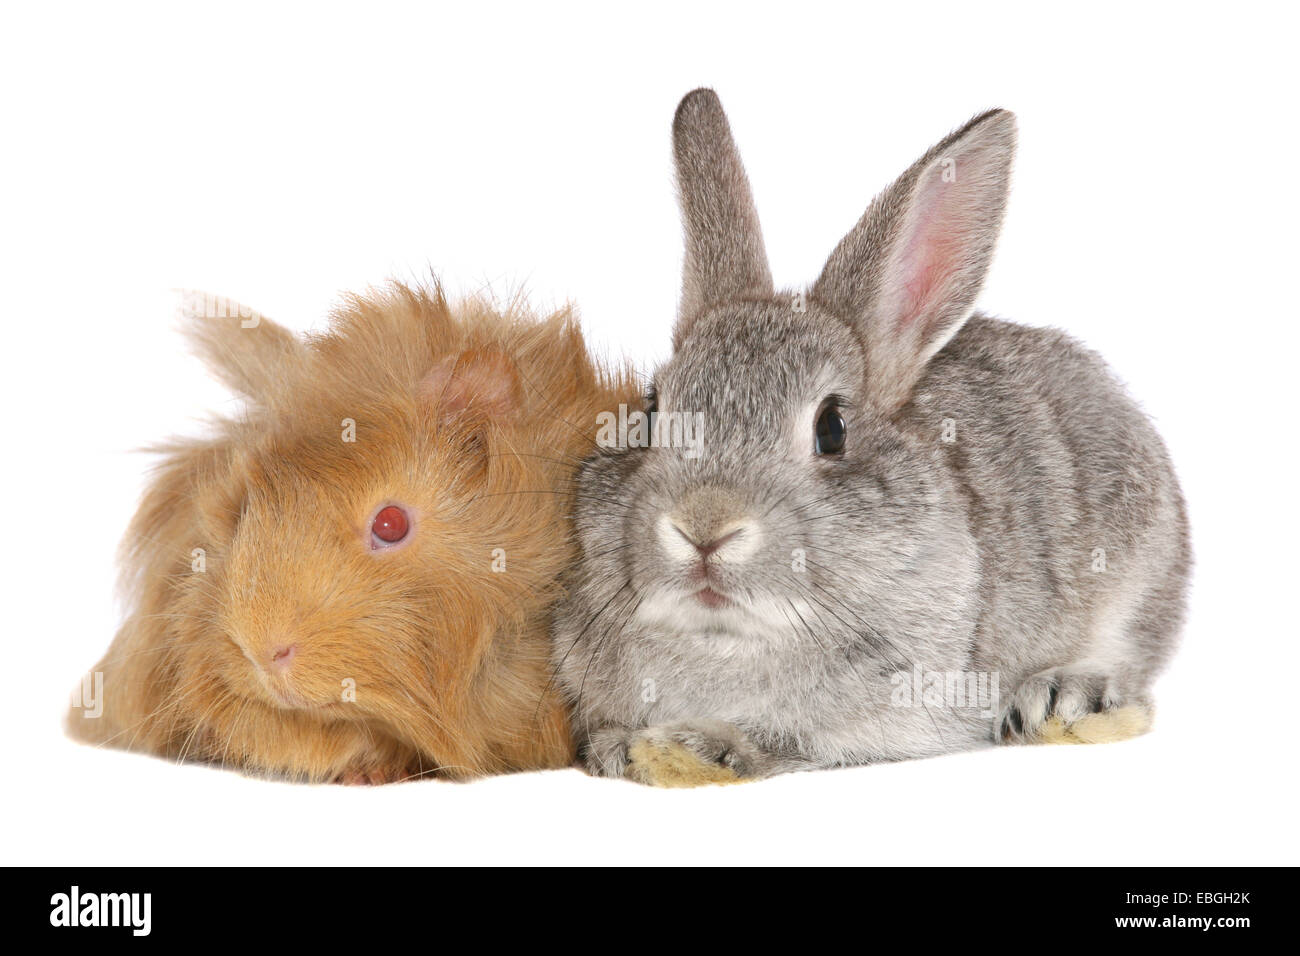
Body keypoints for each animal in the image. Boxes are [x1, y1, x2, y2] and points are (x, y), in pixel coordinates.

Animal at [552, 89, 1191, 787]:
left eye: (832, 428)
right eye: (649, 412)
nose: (704, 527)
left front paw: (692, 748)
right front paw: (620, 747)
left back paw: (1061, 699)